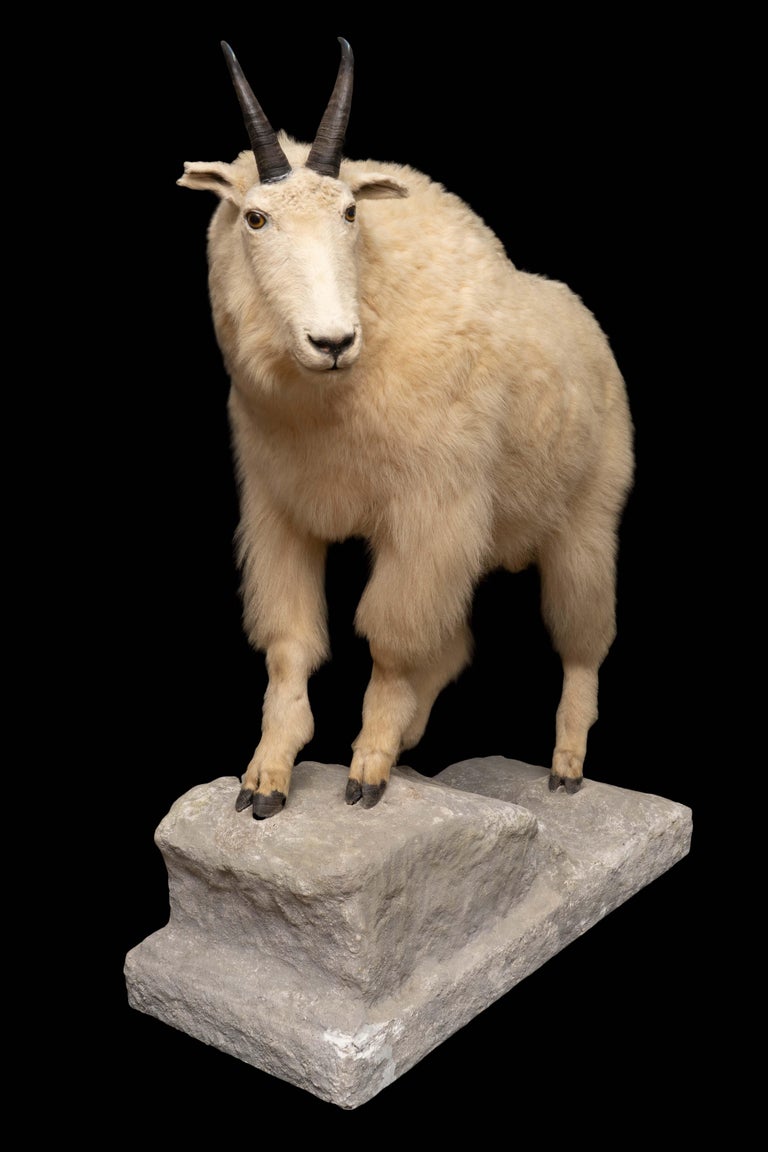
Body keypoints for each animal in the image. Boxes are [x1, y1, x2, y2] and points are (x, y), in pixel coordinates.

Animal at [178, 38, 635, 819]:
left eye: (350, 213)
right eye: (255, 218)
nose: (332, 341)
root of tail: (592, 335)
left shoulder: (427, 517)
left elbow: (391, 640)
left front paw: (367, 768)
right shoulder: (279, 509)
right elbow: (291, 642)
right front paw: (266, 777)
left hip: (585, 522)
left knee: (582, 641)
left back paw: (567, 765)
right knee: (456, 646)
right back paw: (419, 735)